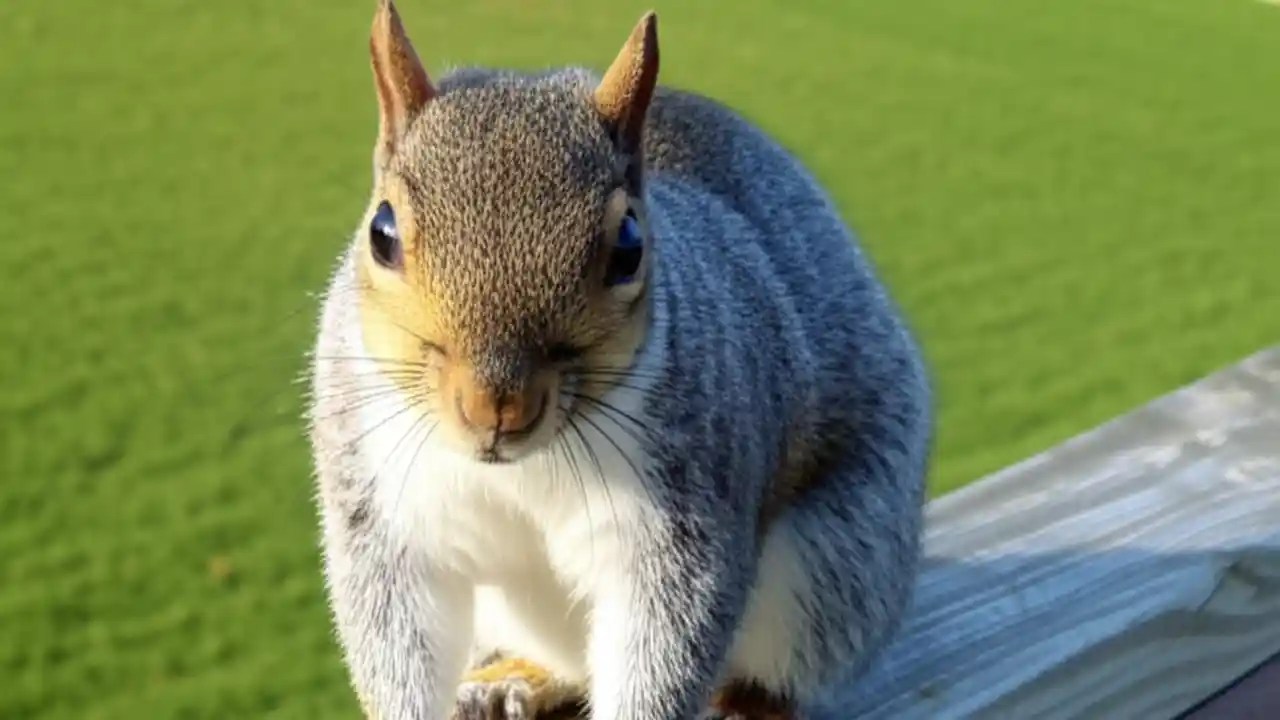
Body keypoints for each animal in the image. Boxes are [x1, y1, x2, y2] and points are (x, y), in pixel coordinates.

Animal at [307, 2, 933, 719]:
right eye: (381, 232)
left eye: (631, 245)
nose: (497, 406)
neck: (520, 469)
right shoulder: (379, 511)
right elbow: (393, 636)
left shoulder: (683, 518)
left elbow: (665, 640)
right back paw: (516, 679)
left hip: (839, 567)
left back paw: (749, 703)